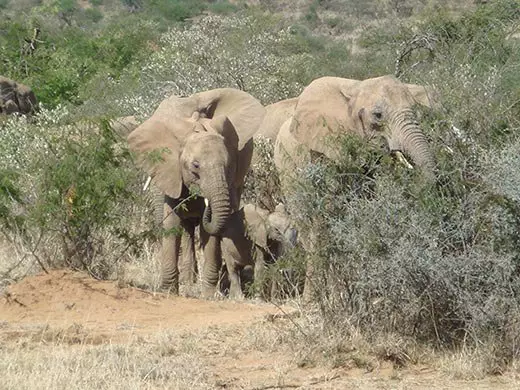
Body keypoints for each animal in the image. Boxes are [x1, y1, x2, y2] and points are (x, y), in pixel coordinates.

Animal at [125, 88, 264, 298]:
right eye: (195, 166)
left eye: (229, 164)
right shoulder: (170, 169)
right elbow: (171, 222)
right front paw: (169, 291)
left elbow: (210, 232)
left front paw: (208, 295)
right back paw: (188, 281)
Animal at [274, 75, 440, 302]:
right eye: (378, 116)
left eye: (416, 110)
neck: (356, 87)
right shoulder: (324, 151)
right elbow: (327, 214)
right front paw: (323, 300)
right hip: (286, 171)